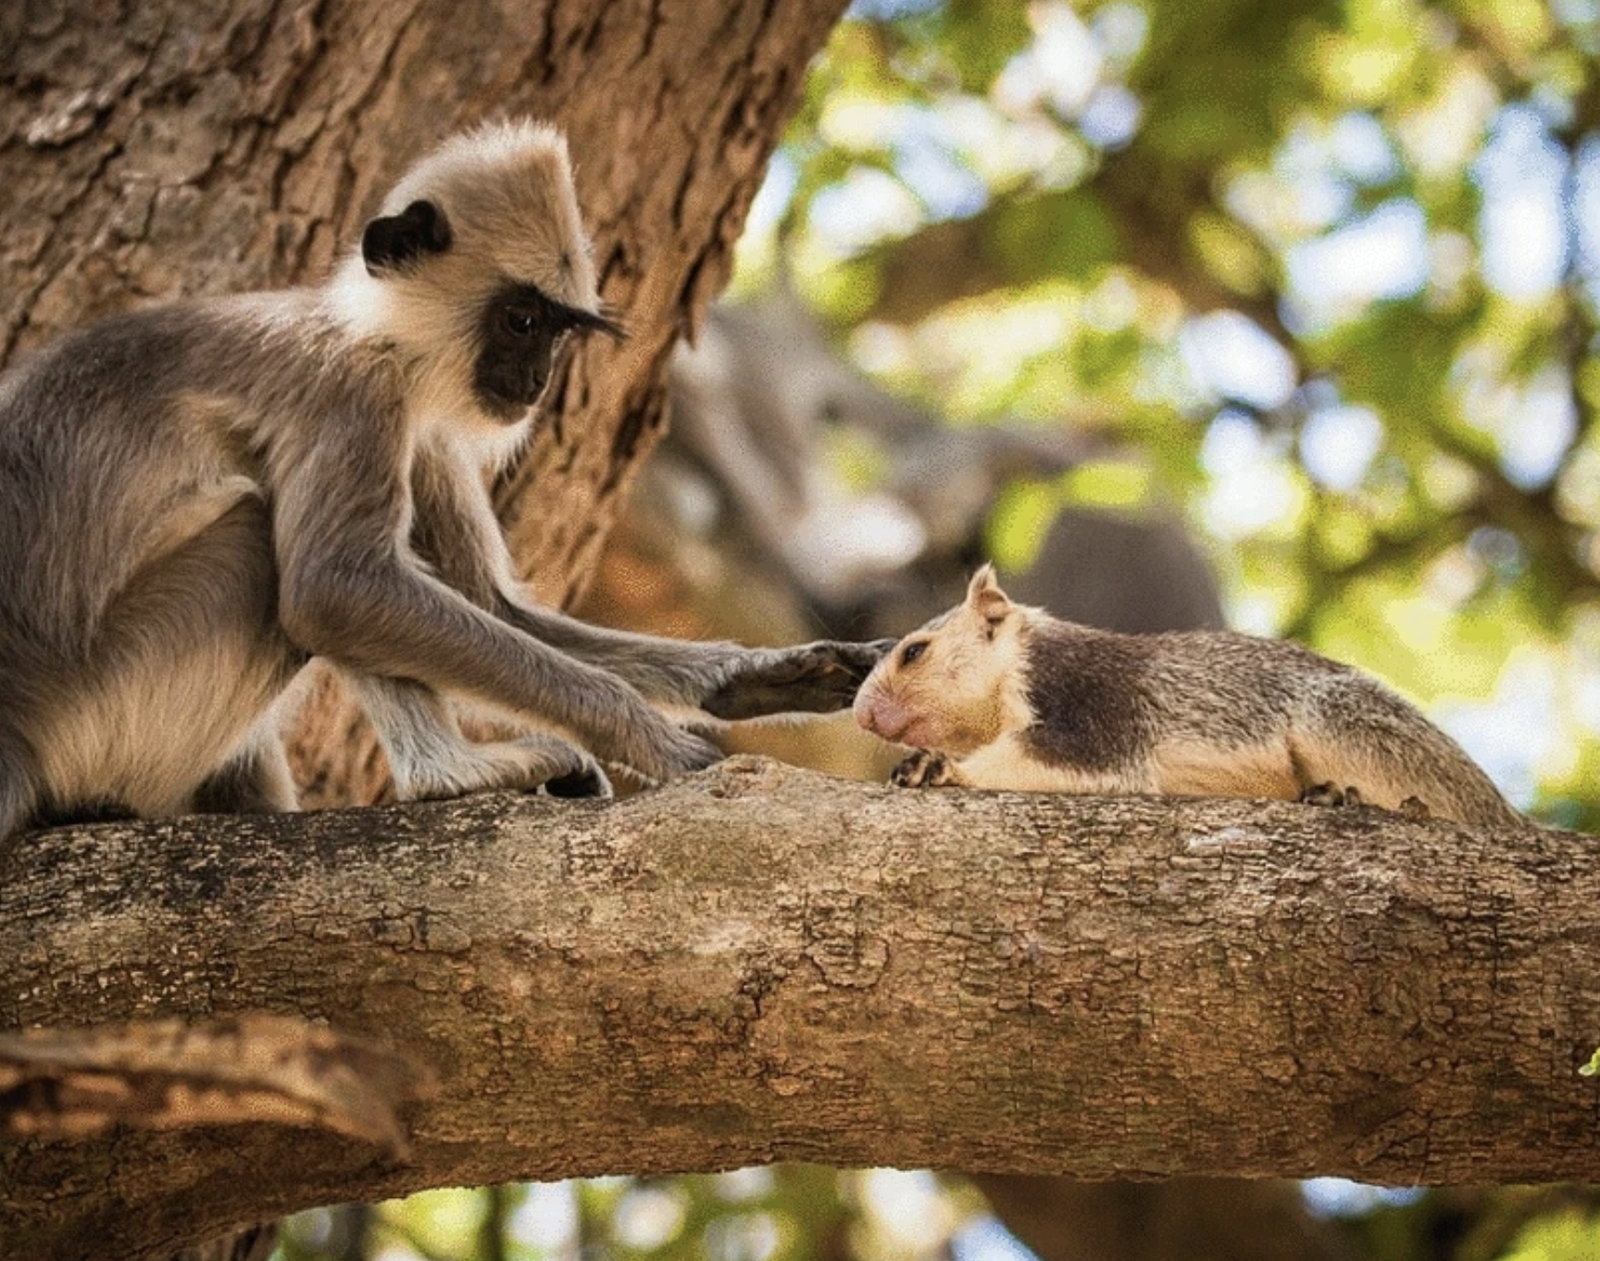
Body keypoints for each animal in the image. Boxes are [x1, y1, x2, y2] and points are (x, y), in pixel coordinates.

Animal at [0, 119, 887, 841]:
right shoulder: (355, 390)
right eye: (522, 321)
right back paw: (447, 778)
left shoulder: (425, 428)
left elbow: (493, 604)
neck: (372, 330)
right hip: (99, 709)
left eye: (558, 332)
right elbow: (335, 588)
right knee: (289, 554)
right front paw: (643, 733)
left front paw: (753, 679)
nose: (537, 381)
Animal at [852, 565, 1525, 830]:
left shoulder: (1091, 697)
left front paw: (941, 768)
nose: (861, 713)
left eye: (914, 652)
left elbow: (1080, 760)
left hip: (1345, 723)